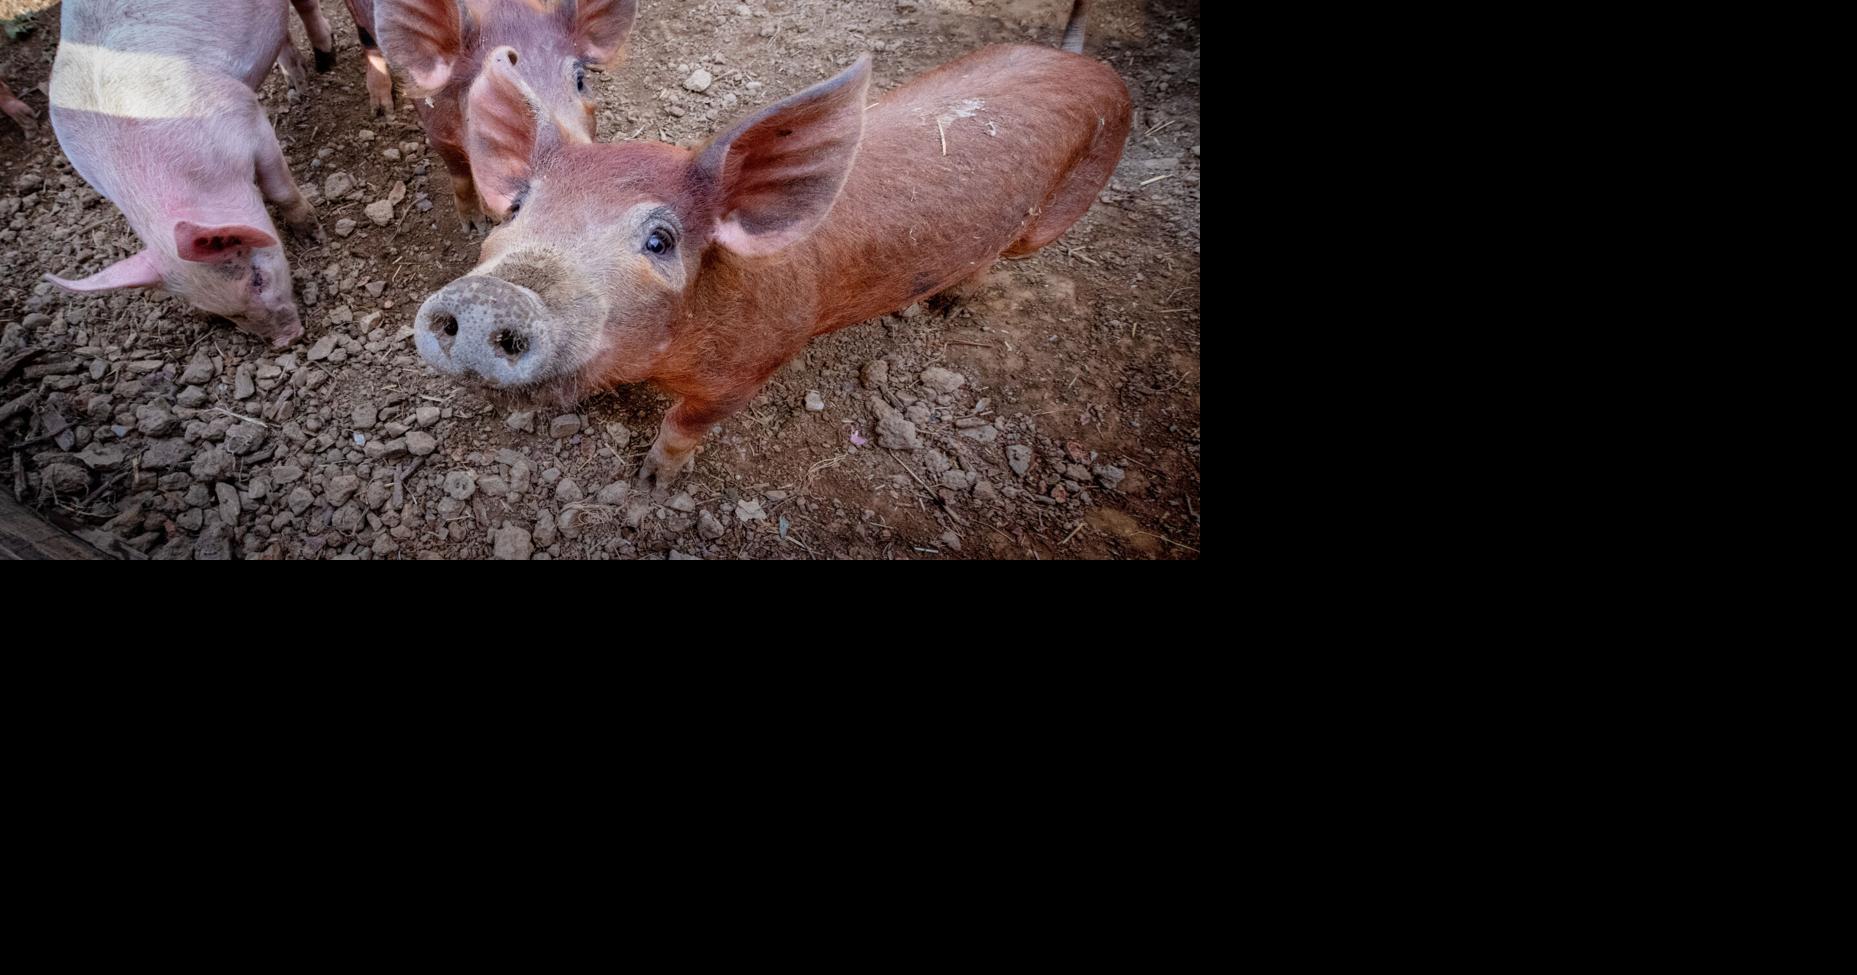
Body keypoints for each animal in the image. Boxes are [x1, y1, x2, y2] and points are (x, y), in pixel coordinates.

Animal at [45, 0, 329, 348]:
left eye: (258, 279)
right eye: (225, 313)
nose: (286, 340)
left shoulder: (248, 117)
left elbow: (279, 190)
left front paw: (313, 234)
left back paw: (322, 60)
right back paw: (296, 84)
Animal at [411, 0, 1129, 490]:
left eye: (659, 239)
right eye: (518, 206)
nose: (489, 294)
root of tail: (1086, 61)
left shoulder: (750, 371)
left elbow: (683, 427)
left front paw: (650, 483)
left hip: (1057, 213)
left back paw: (944, 307)